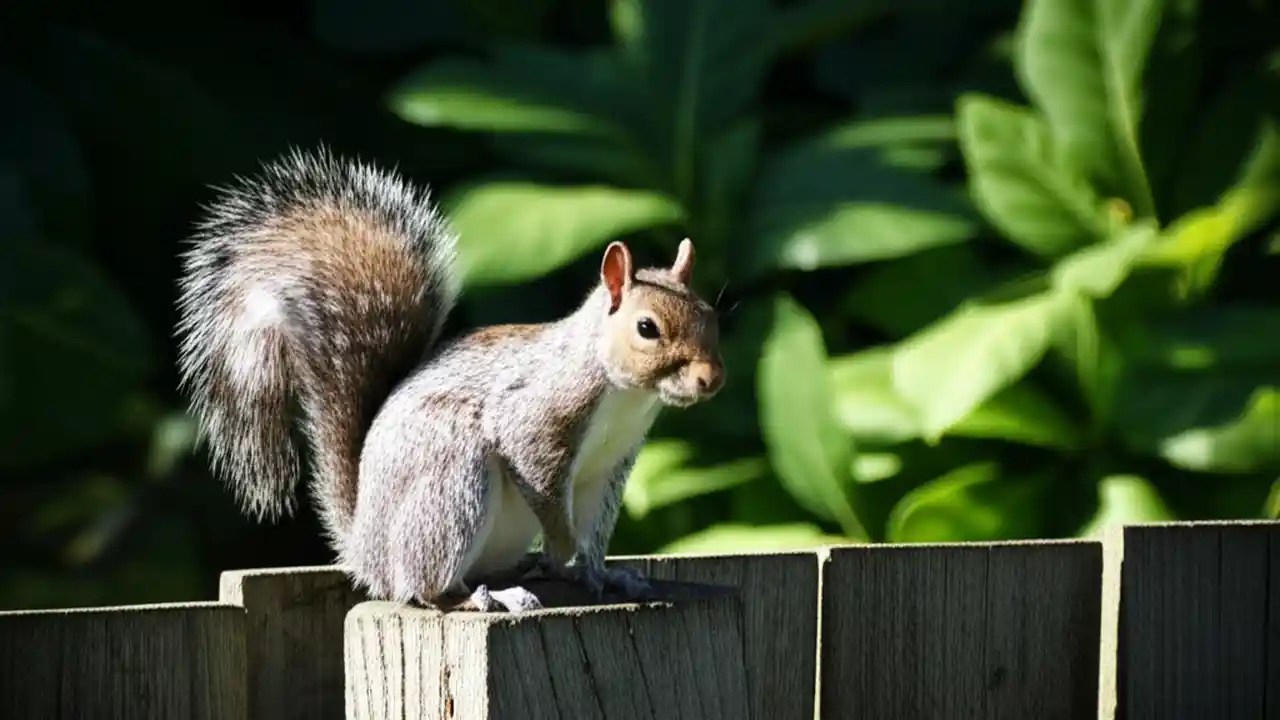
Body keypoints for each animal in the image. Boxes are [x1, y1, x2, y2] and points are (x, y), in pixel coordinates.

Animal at [175, 147, 724, 612]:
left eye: (710, 315)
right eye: (647, 328)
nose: (712, 379)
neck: (625, 398)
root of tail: (368, 553)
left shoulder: (608, 468)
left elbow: (594, 534)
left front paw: (600, 575)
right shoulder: (536, 423)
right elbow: (547, 493)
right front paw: (560, 552)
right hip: (451, 478)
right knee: (424, 588)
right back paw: (486, 596)